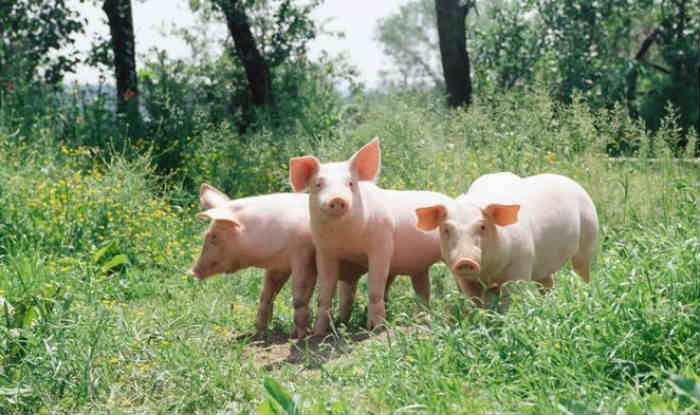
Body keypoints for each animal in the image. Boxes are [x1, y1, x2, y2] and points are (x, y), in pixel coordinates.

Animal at [188, 184, 366, 338]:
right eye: (206, 235)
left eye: (213, 237)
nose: (191, 271)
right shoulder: (279, 265)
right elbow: (266, 295)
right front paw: (259, 334)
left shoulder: (303, 254)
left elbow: (300, 295)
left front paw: (301, 335)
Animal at [289, 137, 452, 336]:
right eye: (318, 184)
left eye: (351, 183)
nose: (337, 199)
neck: (347, 241)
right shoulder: (324, 251)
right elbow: (325, 294)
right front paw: (318, 333)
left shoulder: (382, 246)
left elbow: (374, 289)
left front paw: (375, 329)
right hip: (419, 268)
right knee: (422, 290)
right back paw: (422, 319)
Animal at [415, 172, 598, 308]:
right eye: (446, 229)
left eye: (482, 226)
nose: (465, 261)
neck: (489, 273)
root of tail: (574, 183)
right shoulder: (464, 280)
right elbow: (476, 303)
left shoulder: (520, 268)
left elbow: (509, 302)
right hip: (543, 265)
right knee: (547, 283)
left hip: (588, 235)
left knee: (582, 270)